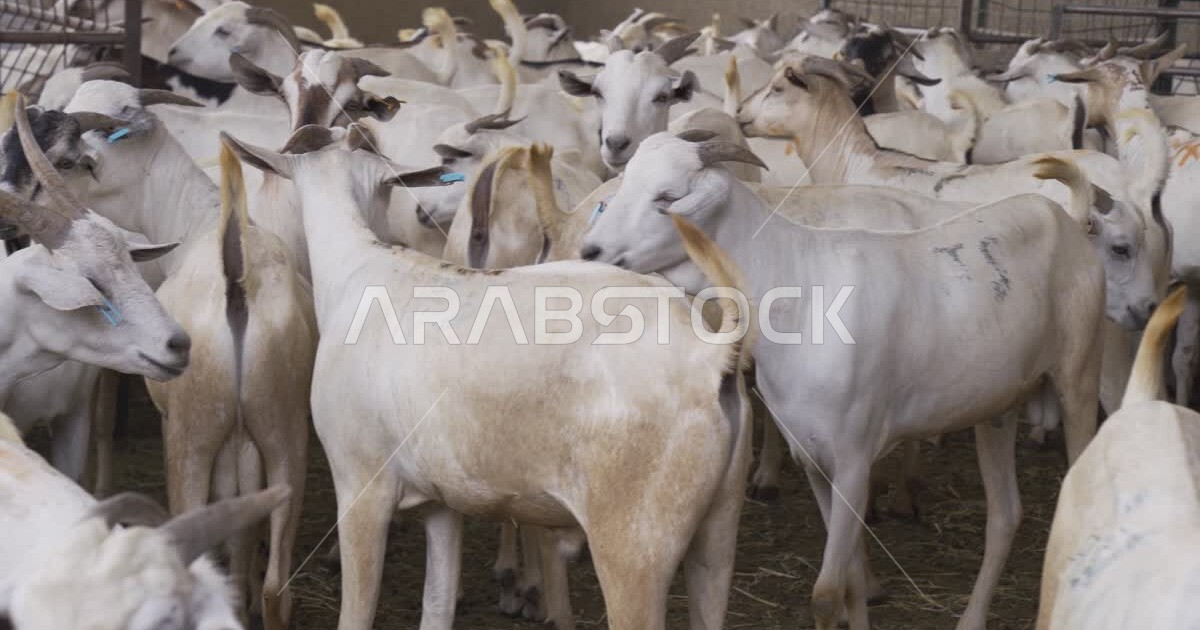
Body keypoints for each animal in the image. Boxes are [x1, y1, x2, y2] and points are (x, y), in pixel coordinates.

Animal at [222, 122, 752, 630]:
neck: (356, 269)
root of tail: (710, 355)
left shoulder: (361, 484)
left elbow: (355, 615)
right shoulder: (440, 502)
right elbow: (436, 608)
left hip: (637, 539)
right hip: (718, 530)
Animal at [581, 130, 1108, 630]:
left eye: (666, 197)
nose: (590, 250)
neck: (799, 289)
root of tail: (1067, 217)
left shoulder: (855, 461)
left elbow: (826, 594)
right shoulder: (814, 460)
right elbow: (852, 582)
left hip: (1079, 375)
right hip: (997, 407)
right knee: (1004, 516)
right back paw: (972, 618)